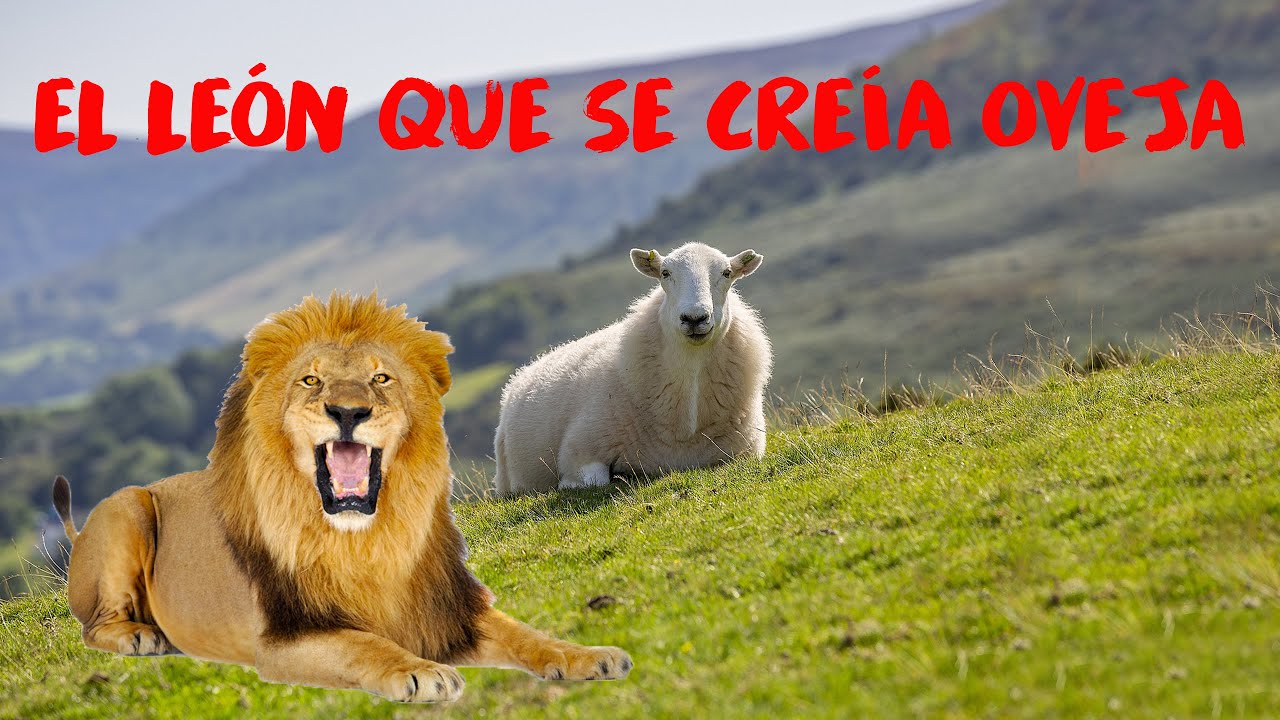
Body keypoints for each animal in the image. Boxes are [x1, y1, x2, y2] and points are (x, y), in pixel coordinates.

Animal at [53, 293, 631, 702]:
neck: (365, 537)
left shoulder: (449, 608)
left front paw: (593, 657)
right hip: (127, 505)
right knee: (92, 626)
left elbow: (530, 636)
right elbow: (364, 643)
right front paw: (420, 671)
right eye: (311, 381)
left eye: (381, 378)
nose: (349, 412)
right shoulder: (286, 637)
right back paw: (142, 636)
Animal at [493, 242, 772, 496]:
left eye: (726, 273)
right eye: (665, 273)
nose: (695, 318)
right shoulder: (579, 450)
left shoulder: (746, 452)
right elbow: (593, 481)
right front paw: (571, 484)